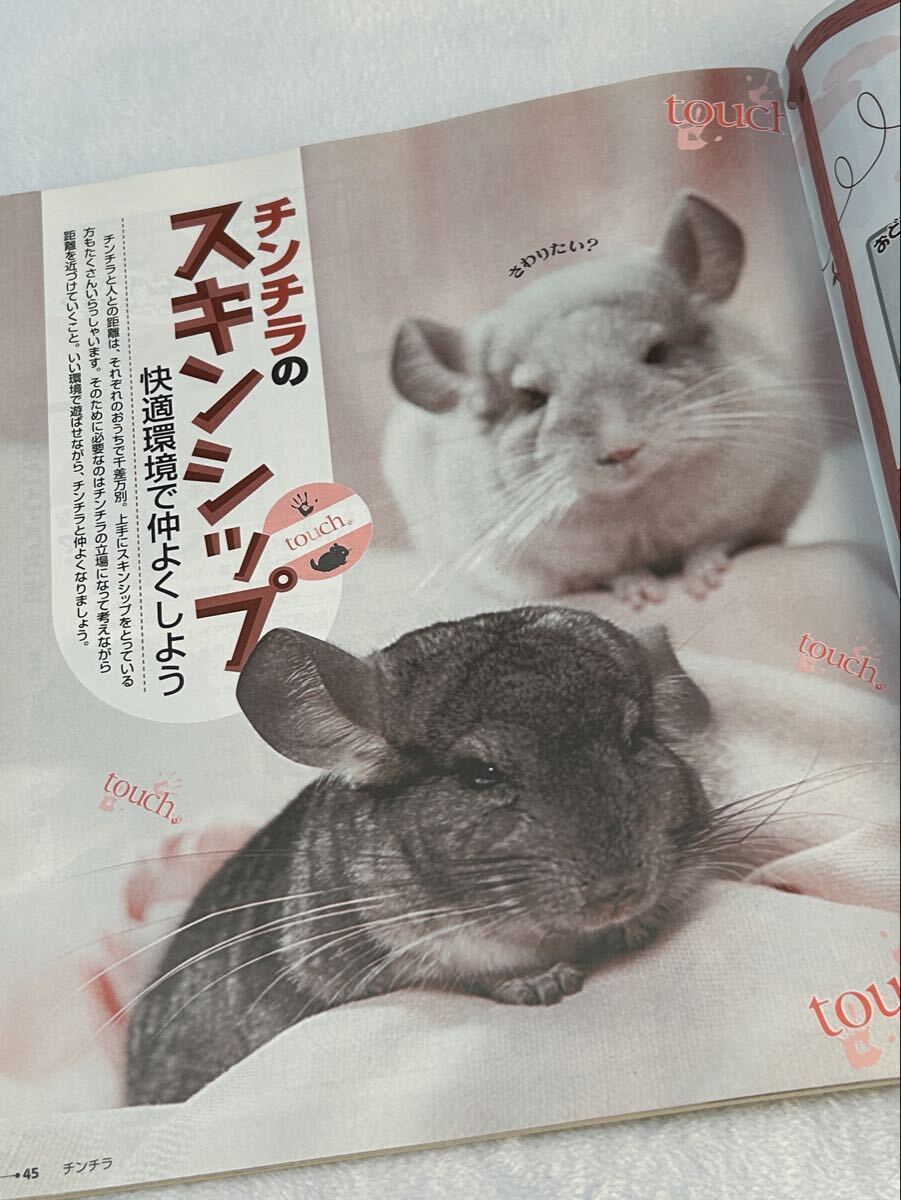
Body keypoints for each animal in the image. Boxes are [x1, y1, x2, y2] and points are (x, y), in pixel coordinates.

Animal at [383, 191, 823, 607]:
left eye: (657, 352)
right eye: (531, 398)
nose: (621, 449)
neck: (639, 500)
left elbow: (718, 541)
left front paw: (704, 574)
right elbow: (611, 574)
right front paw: (640, 590)